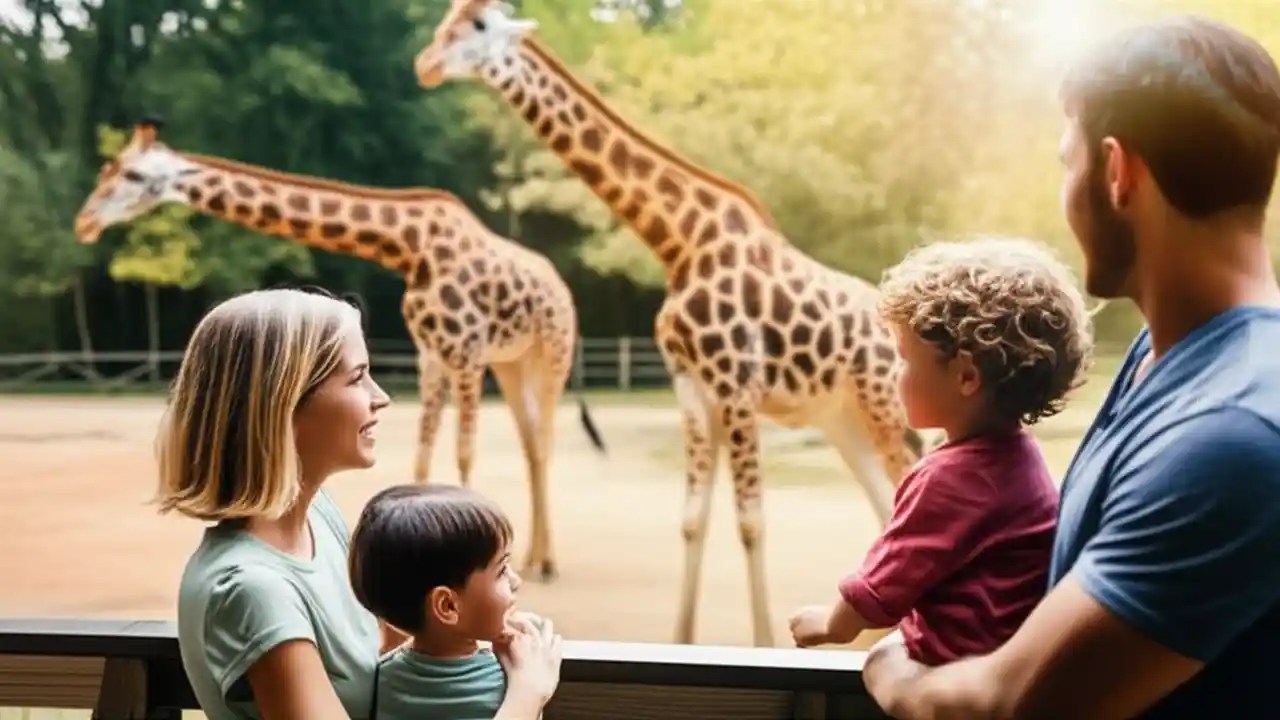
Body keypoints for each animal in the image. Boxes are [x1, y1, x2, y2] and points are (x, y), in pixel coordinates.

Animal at [72, 118, 608, 581]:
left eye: (132, 174)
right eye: (107, 170)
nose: (84, 222)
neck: (410, 248)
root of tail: (562, 286)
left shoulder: (466, 352)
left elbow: (463, 454)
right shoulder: (432, 355)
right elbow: (422, 456)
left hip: (549, 352)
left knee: (544, 441)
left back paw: (547, 562)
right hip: (511, 362)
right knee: (531, 443)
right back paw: (536, 558)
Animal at [413, 1, 929, 647]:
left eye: (478, 27)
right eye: (445, 22)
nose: (426, 64)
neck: (678, 242)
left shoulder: (736, 385)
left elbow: (751, 522)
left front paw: (763, 643)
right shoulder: (693, 387)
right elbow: (692, 521)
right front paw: (682, 640)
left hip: (881, 405)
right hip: (843, 418)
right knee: (885, 504)